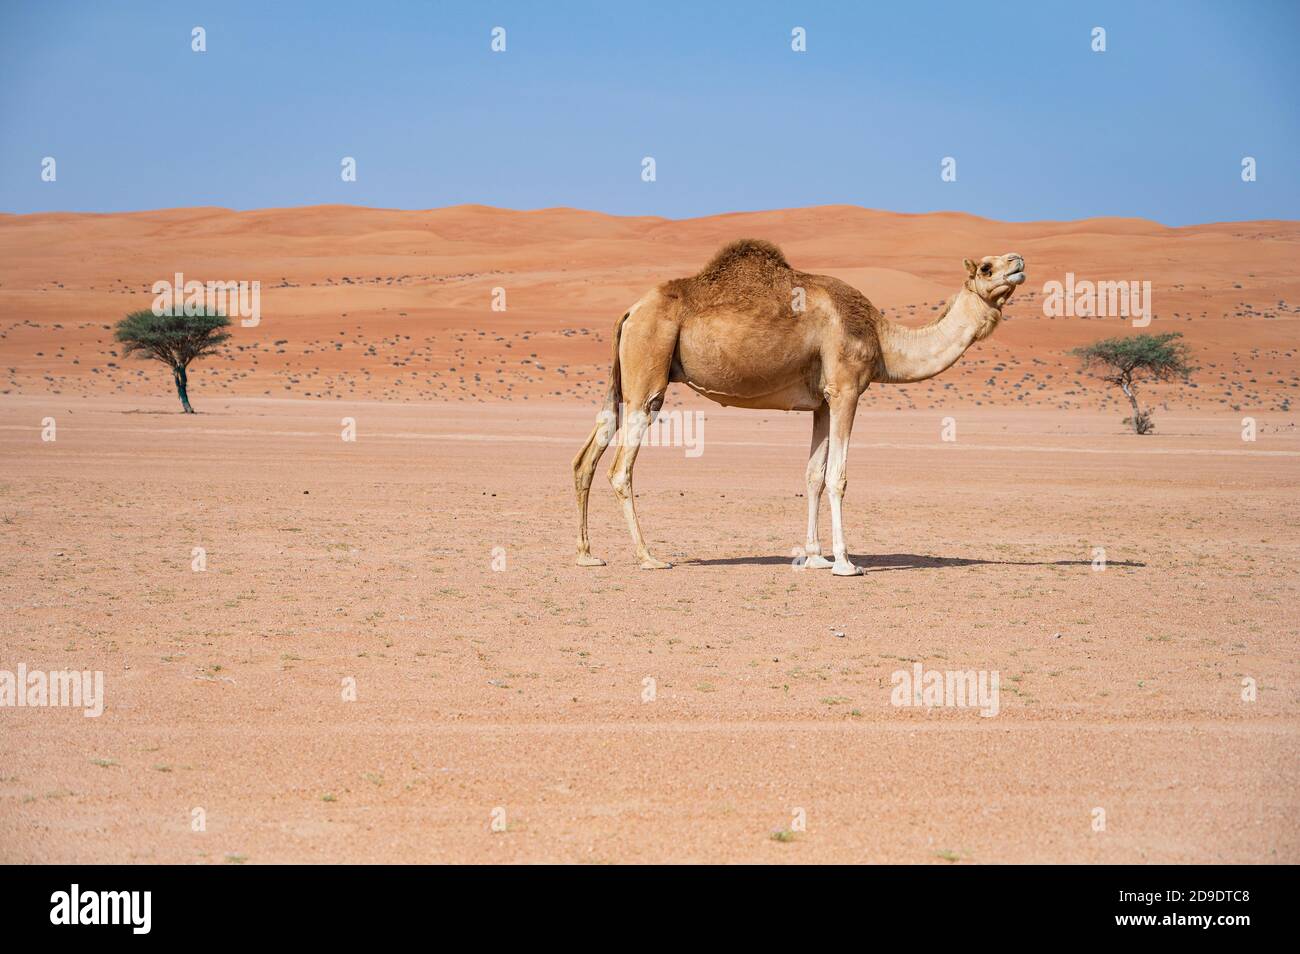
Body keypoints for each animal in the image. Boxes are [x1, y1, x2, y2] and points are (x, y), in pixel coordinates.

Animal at [572, 240, 1025, 575]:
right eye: (986, 268)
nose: (1019, 261)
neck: (883, 341)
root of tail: (630, 310)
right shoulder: (846, 388)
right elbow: (839, 476)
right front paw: (844, 563)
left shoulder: (822, 402)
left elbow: (813, 475)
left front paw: (814, 557)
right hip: (648, 373)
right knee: (620, 468)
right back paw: (648, 557)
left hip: (621, 386)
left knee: (586, 458)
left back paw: (587, 555)